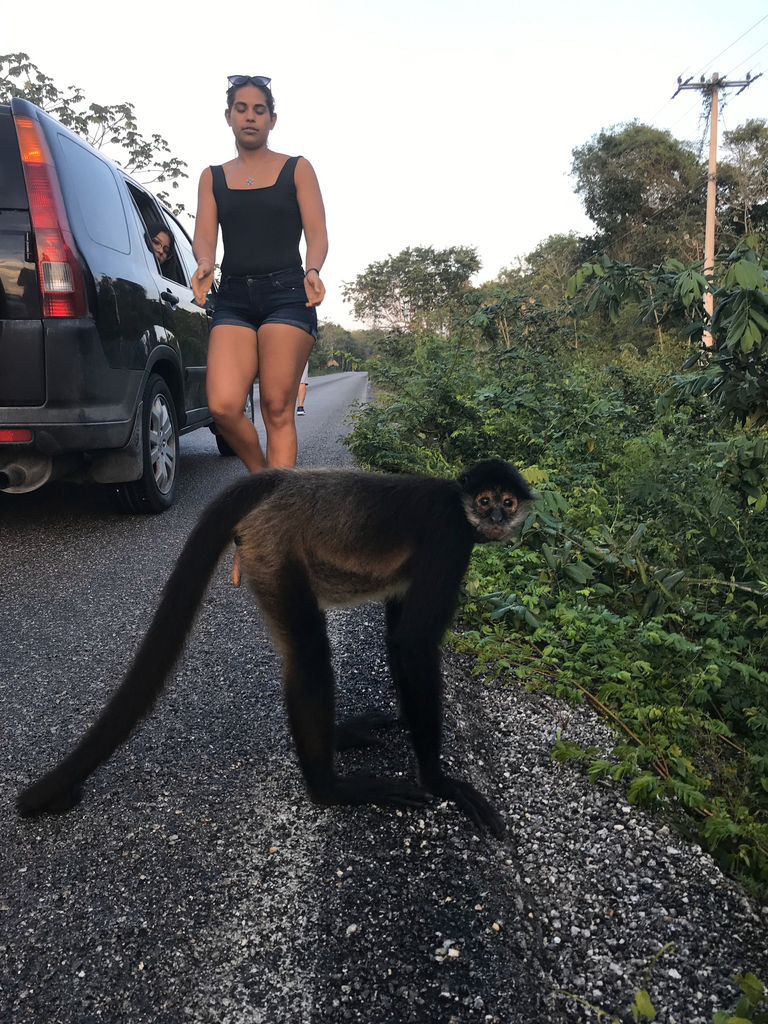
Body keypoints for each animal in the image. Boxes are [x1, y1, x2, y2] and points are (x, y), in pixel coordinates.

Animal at [17, 460, 532, 834]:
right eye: (486, 500)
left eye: (507, 502)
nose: (496, 517)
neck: (458, 504)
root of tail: (282, 482)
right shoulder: (450, 536)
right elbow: (415, 642)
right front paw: (439, 780)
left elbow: (398, 636)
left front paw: (407, 722)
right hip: (273, 550)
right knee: (308, 651)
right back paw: (330, 790)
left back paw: (338, 737)